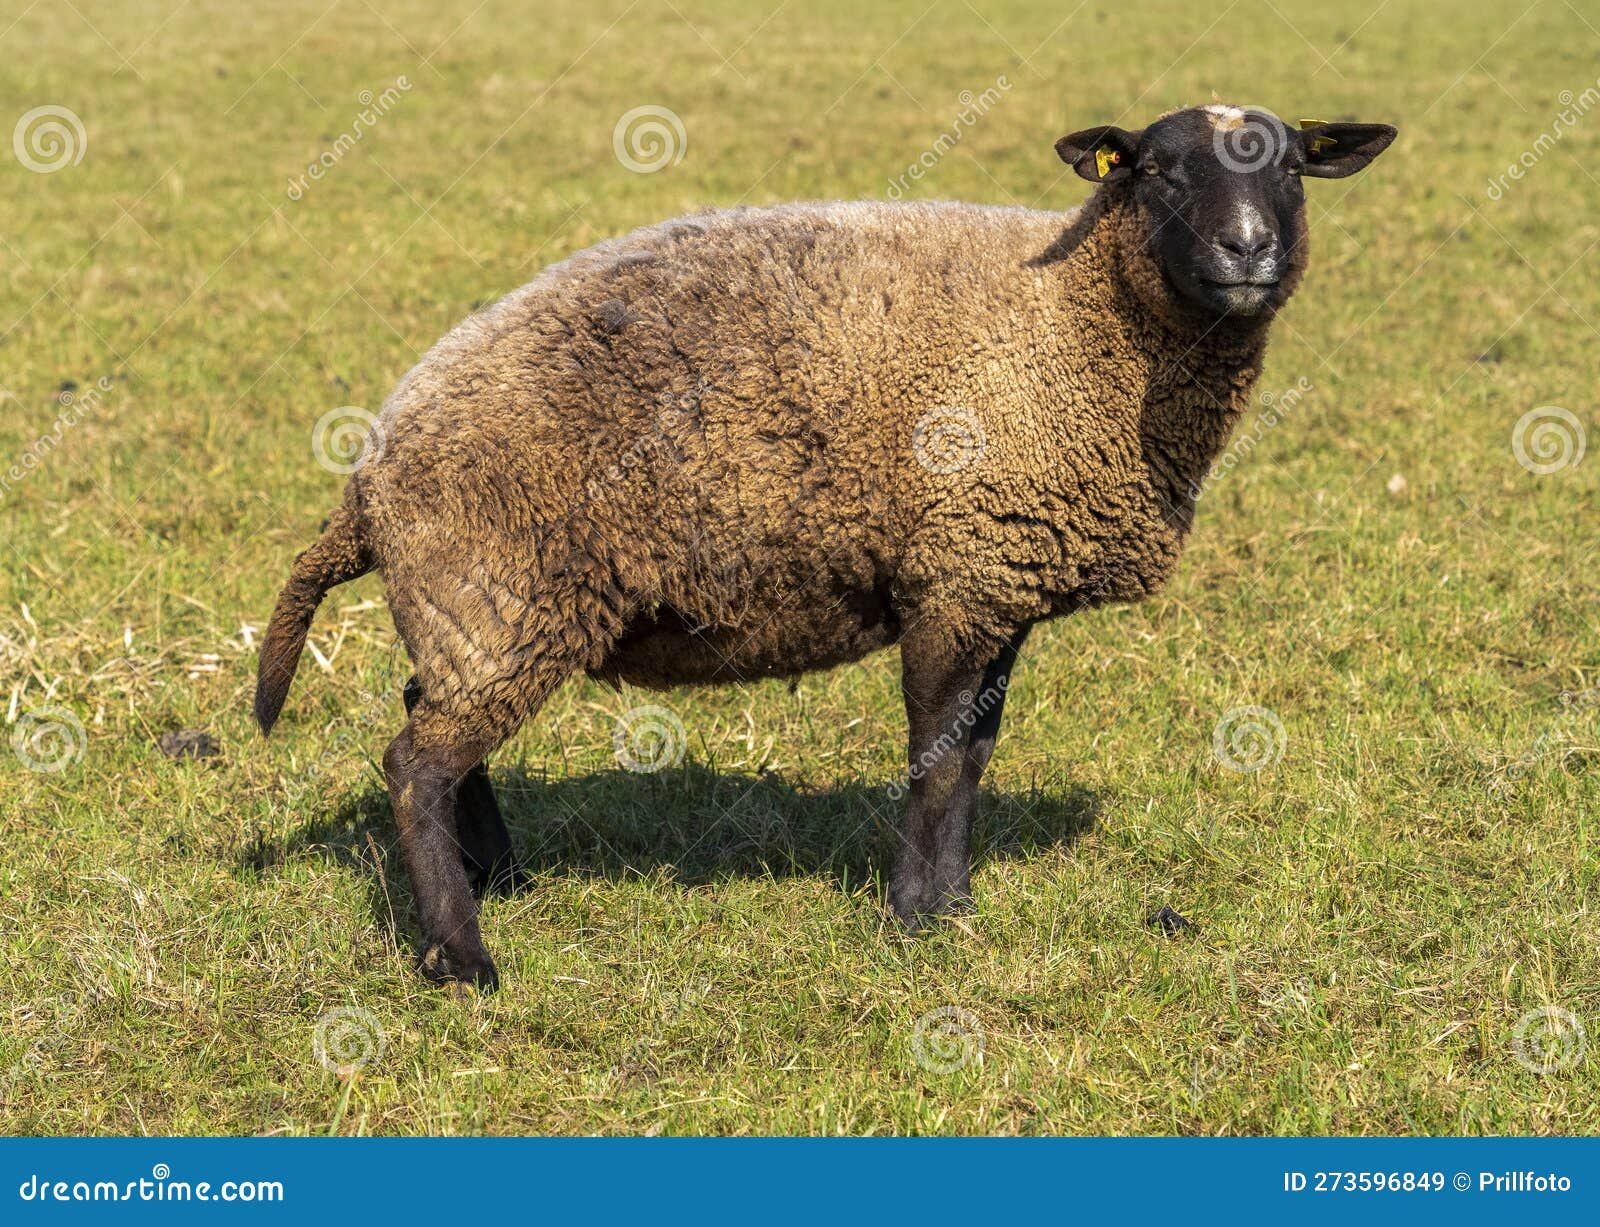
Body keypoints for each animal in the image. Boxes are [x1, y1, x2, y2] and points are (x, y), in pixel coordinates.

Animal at [255, 105, 1396, 990]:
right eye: (1156, 168)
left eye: (1292, 166)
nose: (1247, 249)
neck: (1070, 326)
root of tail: (366, 481)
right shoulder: (953, 578)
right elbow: (937, 761)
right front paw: (916, 918)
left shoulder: (996, 585)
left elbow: (976, 756)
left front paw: (956, 900)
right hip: (500, 589)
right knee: (414, 763)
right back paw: (462, 958)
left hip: (478, 609)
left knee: (435, 729)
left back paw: (499, 878)